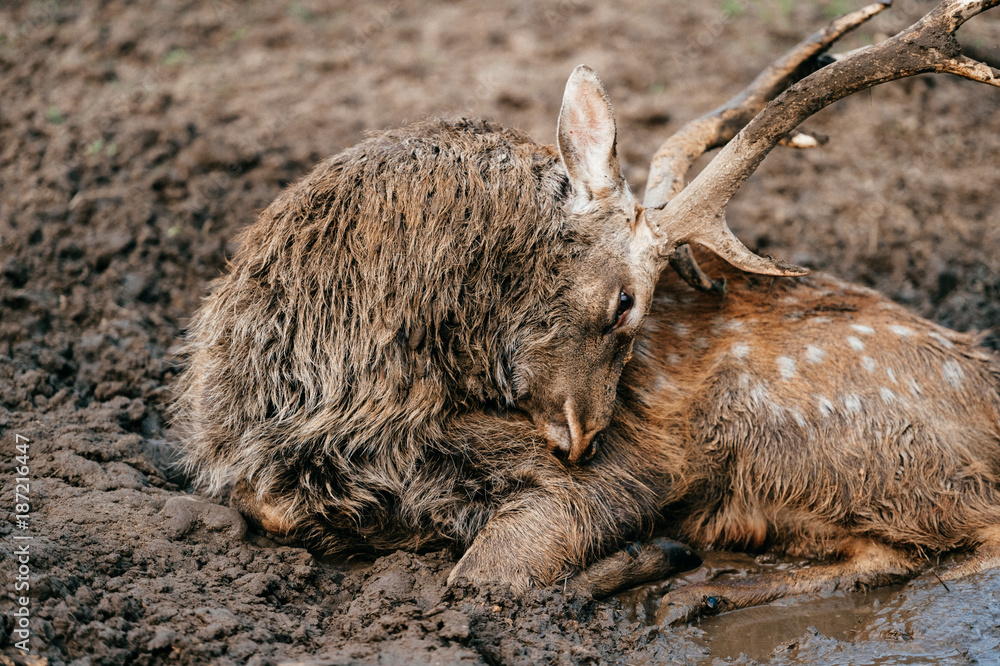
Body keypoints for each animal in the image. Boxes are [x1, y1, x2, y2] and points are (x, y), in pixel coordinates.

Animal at [173, 0, 1000, 621]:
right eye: (625, 302)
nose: (579, 440)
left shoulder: (617, 477)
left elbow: (483, 581)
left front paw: (645, 552)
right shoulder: (258, 476)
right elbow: (277, 515)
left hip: (790, 427)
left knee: (942, 543)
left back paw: (695, 586)